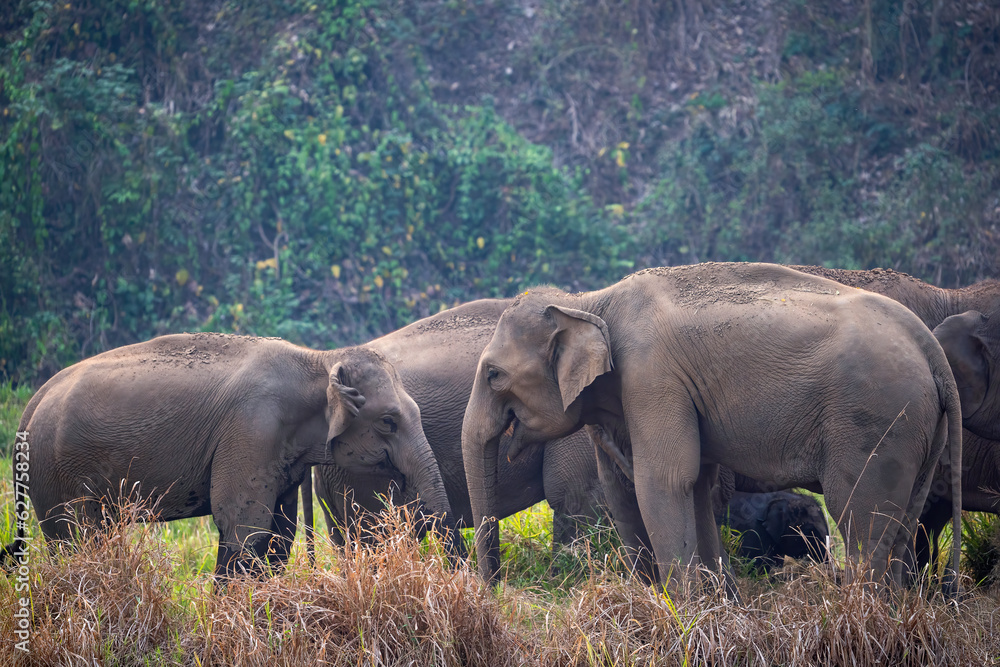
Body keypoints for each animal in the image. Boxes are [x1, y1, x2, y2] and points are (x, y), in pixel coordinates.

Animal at [0, 332, 461, 577]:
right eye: (388, 422)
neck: (319, 360)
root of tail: (33, 402)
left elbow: (277, 536)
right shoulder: (251, 430)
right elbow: (245, 528)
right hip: (58, 473)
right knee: (76, 541)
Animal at [461, 262, 962, 590]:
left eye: (494, 375)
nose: (494, 591)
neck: (589, 302)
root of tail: (932, 350)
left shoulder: (653, 377)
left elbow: (662, 482)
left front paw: (680, 610)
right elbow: (671, 486)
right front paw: (705, 603)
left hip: (876, 422)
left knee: (859, 514)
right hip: (918, 430)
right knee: (904, 522)